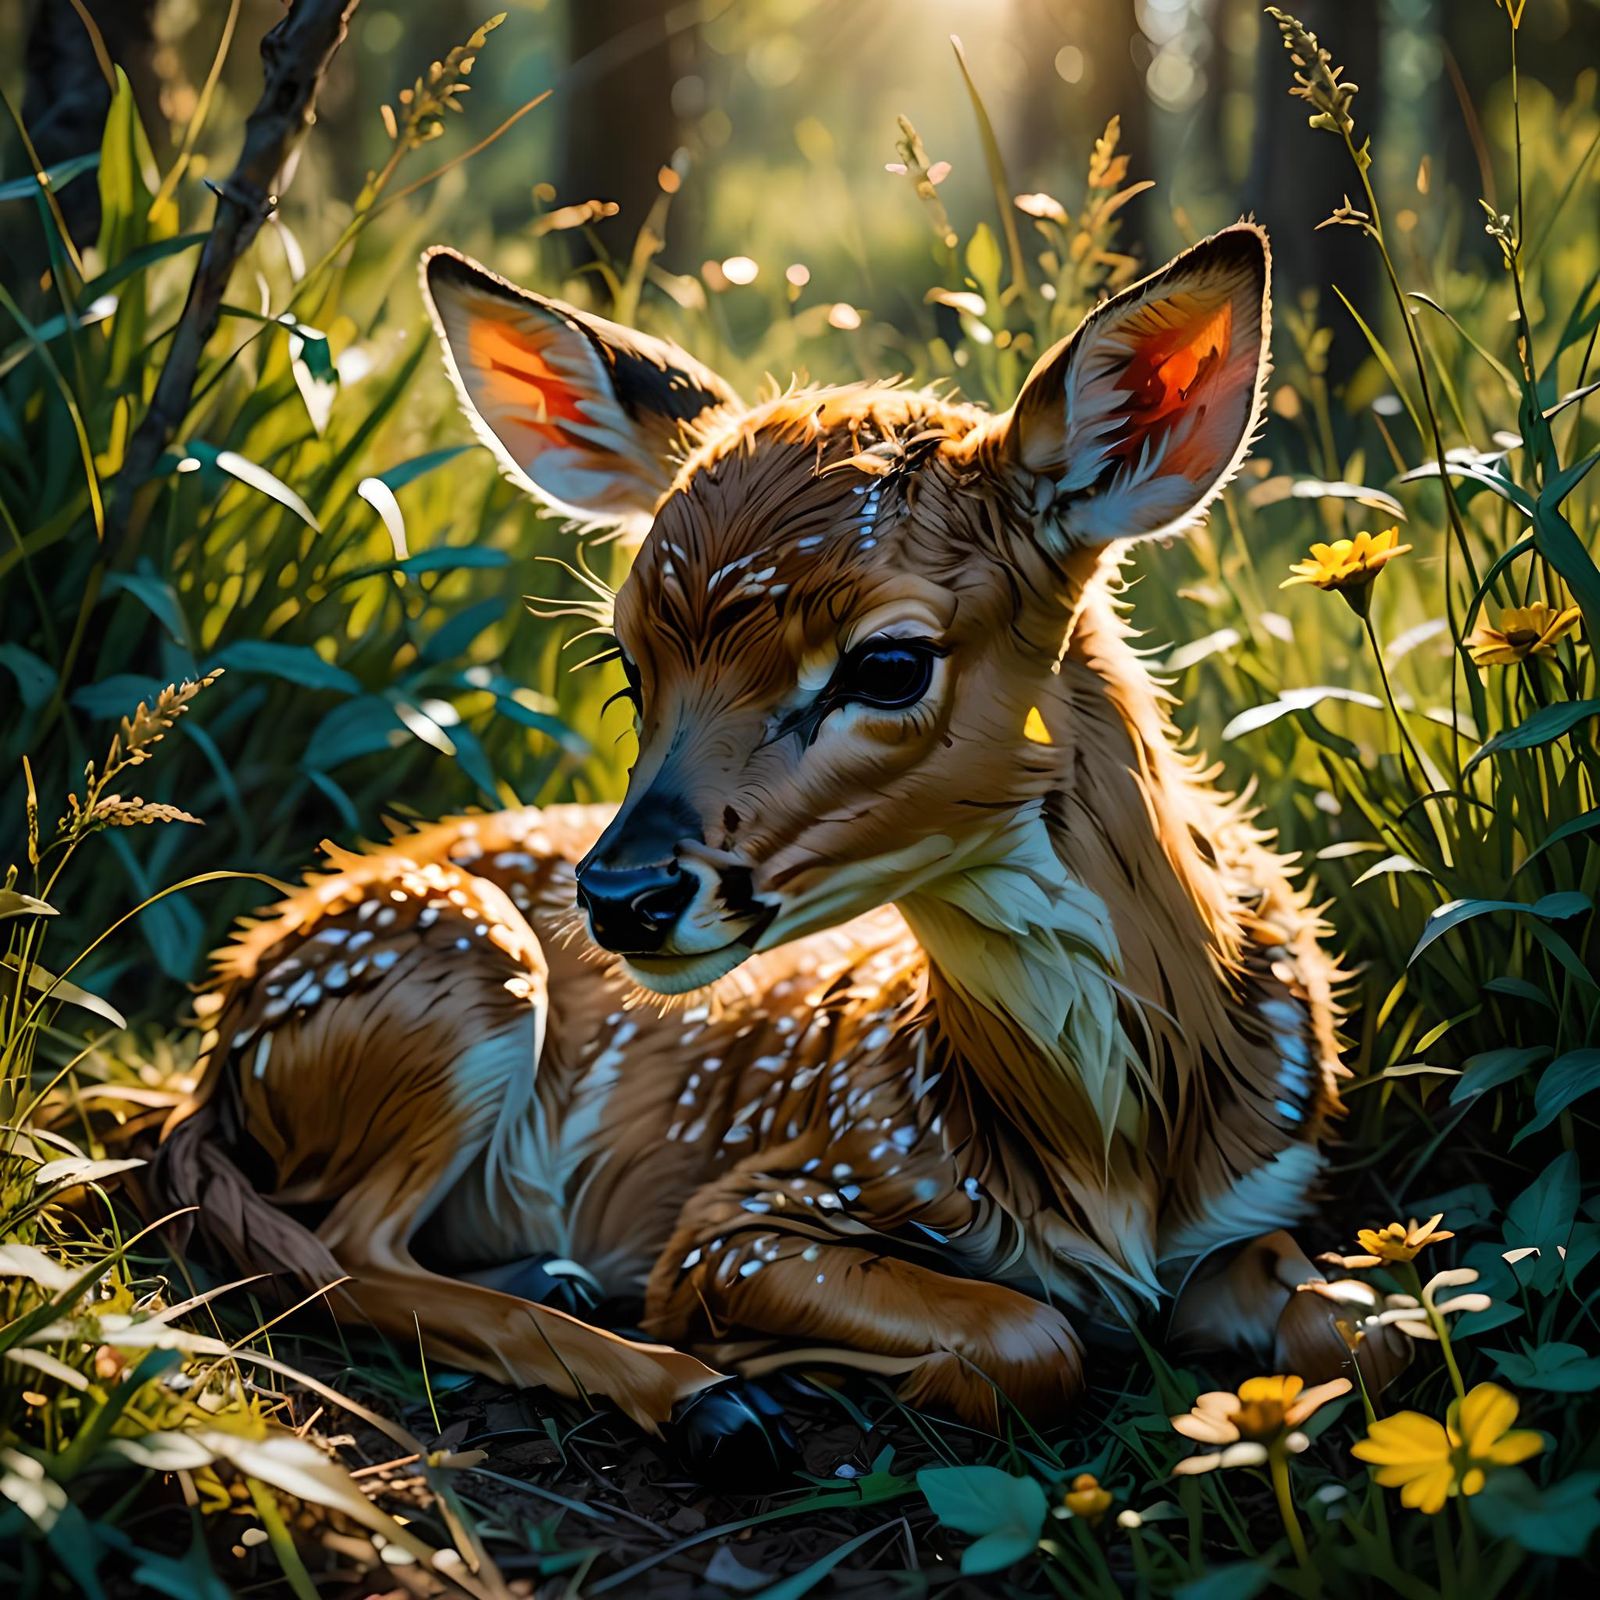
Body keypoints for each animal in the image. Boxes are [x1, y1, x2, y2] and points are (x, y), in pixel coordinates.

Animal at [156, 223, 1393, 1477]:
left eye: (888, 663)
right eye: (627, 667)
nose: (620, 894)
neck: (1115, 1152)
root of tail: (224, 1019)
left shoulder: (1270, 1197)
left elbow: (1354, 1332)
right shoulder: (756, 1204)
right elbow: (1030, 1337)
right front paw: (769, 1361)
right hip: (455, 965)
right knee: (339, 1255)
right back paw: (703, 1396)